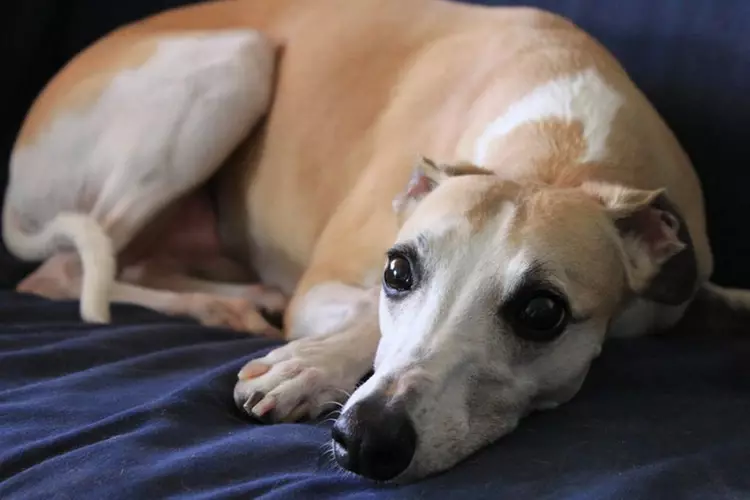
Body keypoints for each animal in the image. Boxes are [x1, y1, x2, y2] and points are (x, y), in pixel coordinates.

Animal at [2, 0, 748, 484]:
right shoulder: (327, 284)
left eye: (543, 313)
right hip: (232, 65)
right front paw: (305, 367)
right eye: (397, 271)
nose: (365, 442)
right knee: (64, 273)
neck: (557, 149)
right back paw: (232, 306)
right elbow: (359, 315)